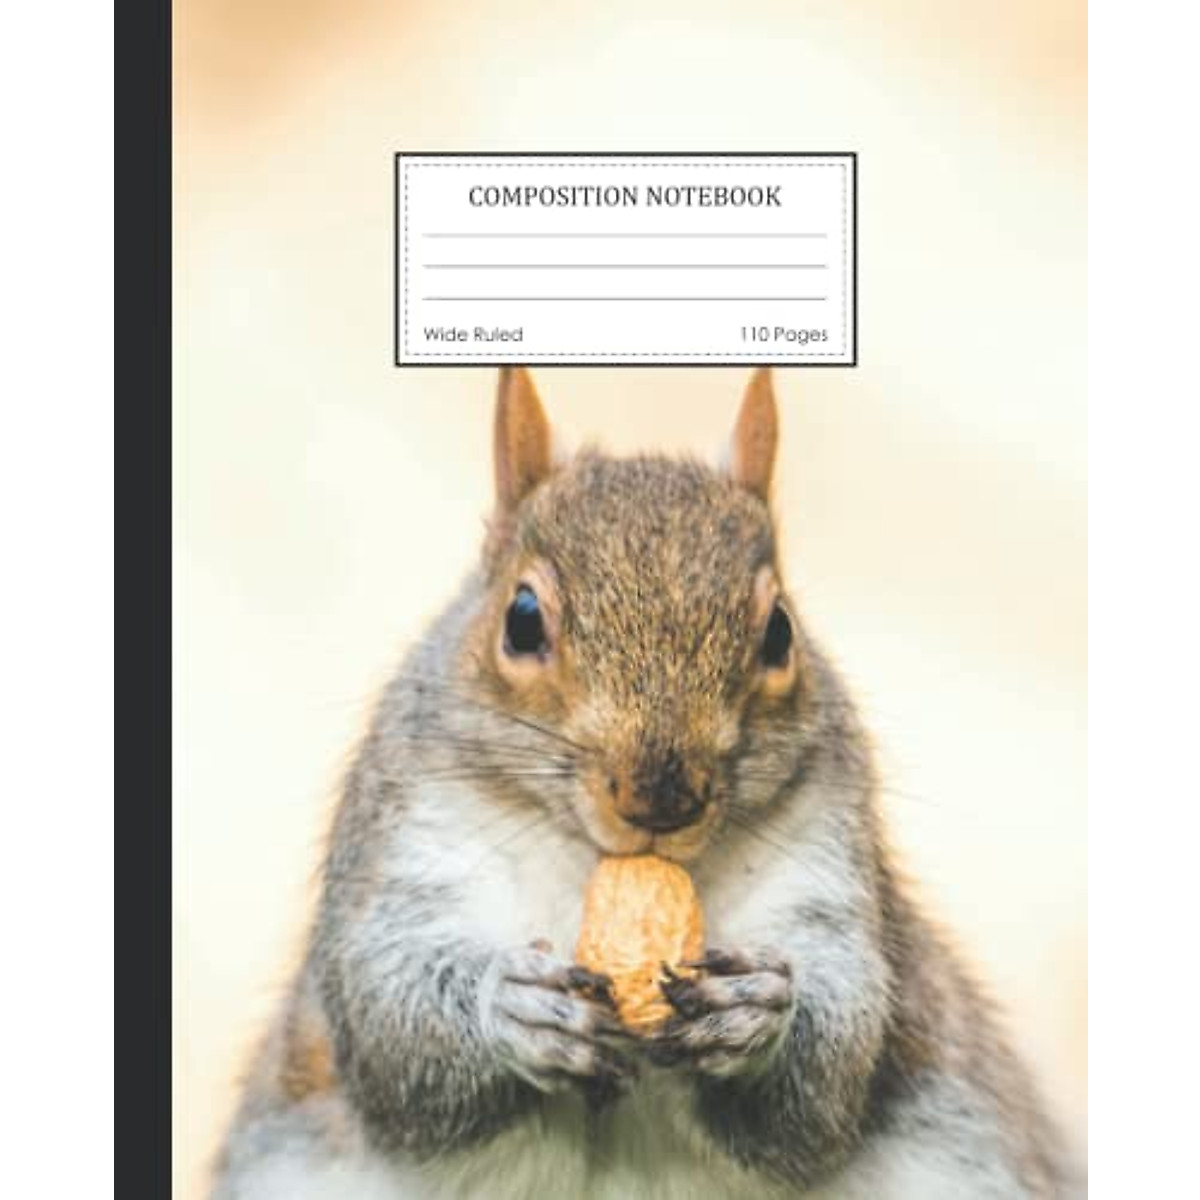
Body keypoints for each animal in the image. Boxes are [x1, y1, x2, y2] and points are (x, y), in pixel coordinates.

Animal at [212, 368, 1082, 1199]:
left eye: (780, 633)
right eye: (520, 620)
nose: (662, 796)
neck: (595, 863)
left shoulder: (826, 863)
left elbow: (828, 1079)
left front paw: (759, 1011)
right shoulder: (402, 846)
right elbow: (388, 1030)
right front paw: (510, 1006)